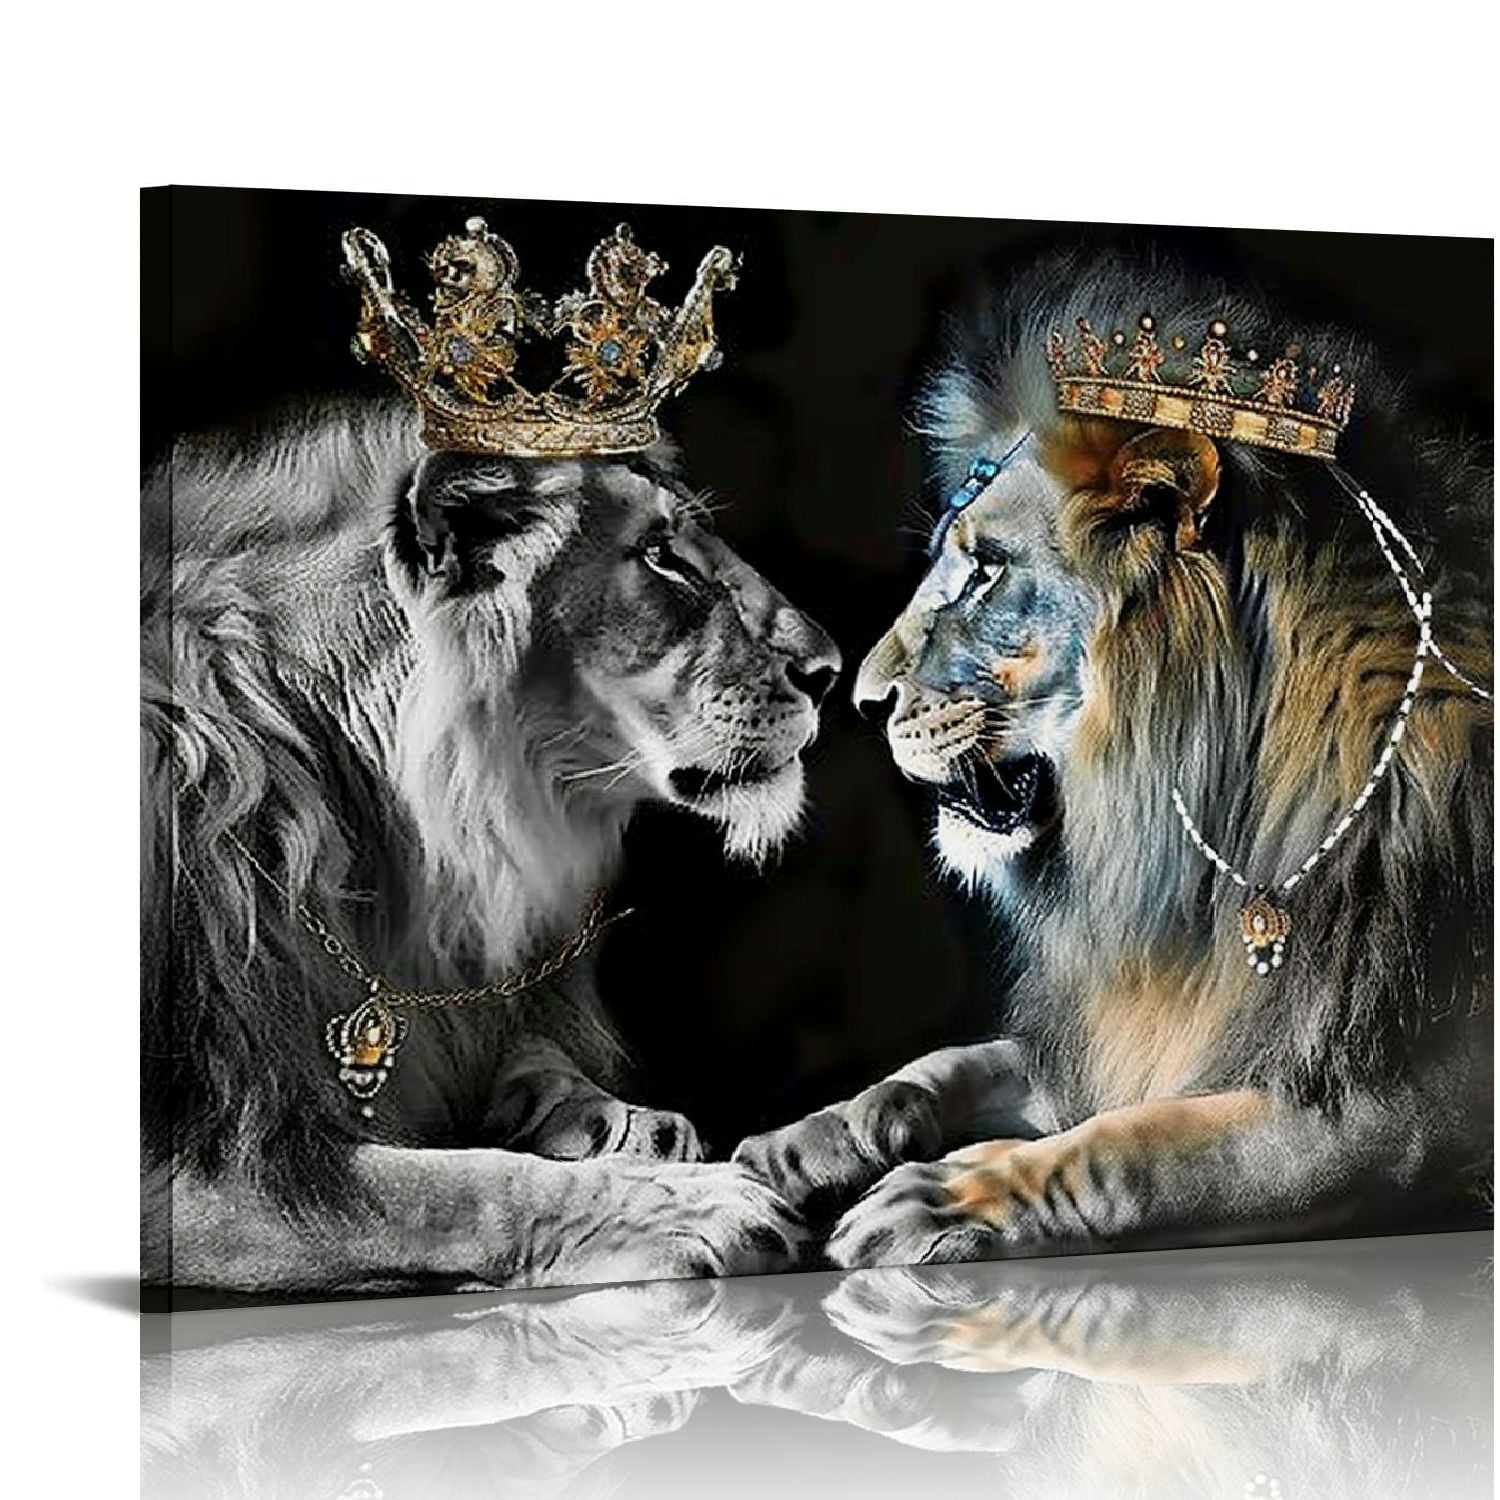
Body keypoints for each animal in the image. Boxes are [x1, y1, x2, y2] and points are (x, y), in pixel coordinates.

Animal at [142, 396, 840, 1298]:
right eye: (660, 556)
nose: (829, 670)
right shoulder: (211, 1162)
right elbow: (450, 1189)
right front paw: (678, 1204)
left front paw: (614, 1123)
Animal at [735, 250, 1492, 1265]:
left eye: (986, 570)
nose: (858, 700)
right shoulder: (1111, 1025)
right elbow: (951, 1061)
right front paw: (814, 1136)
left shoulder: (1394, 1116)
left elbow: (1133, 1147)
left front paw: (950, 1196)